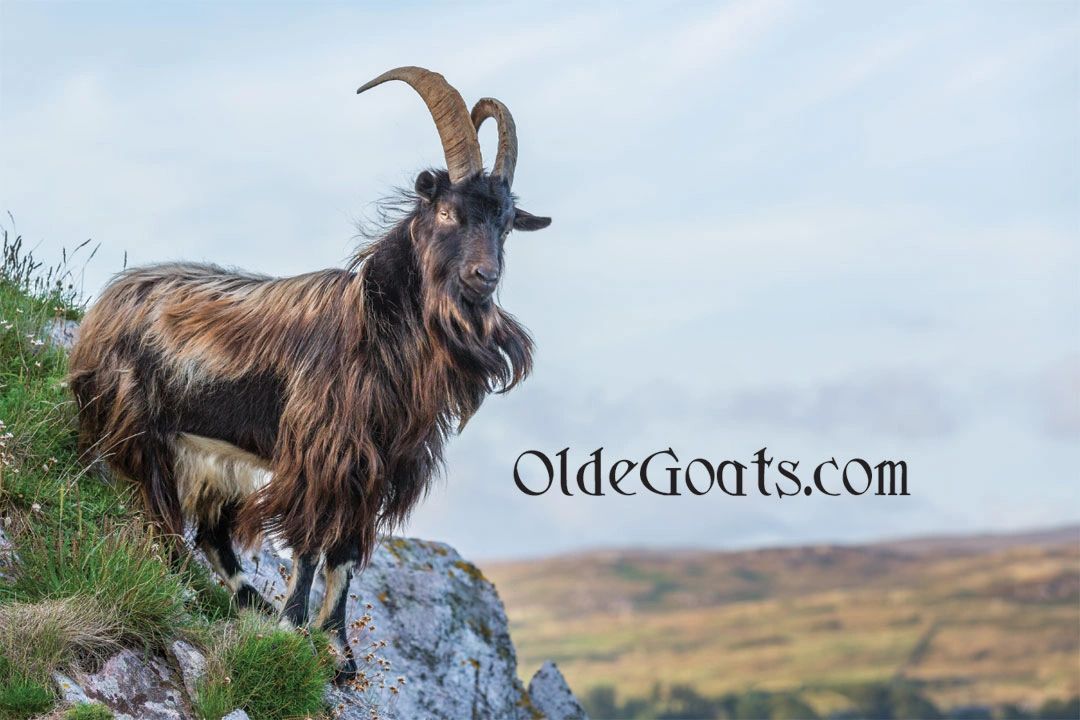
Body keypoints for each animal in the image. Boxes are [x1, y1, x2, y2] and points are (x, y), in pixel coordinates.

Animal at [67, 66, 551, 681]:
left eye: (507, 225)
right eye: (447, 212)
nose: (484, 277)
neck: (372, 331)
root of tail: (104, 304)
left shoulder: (371, 469)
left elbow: (342, 557)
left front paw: (340, 655)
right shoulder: (320, 455)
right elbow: (308, 546)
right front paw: (292, 633)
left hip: (207, 453)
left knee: (212, 533)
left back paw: (249, 601)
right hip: (141, 429)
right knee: (160, 516)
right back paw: (197, 588)